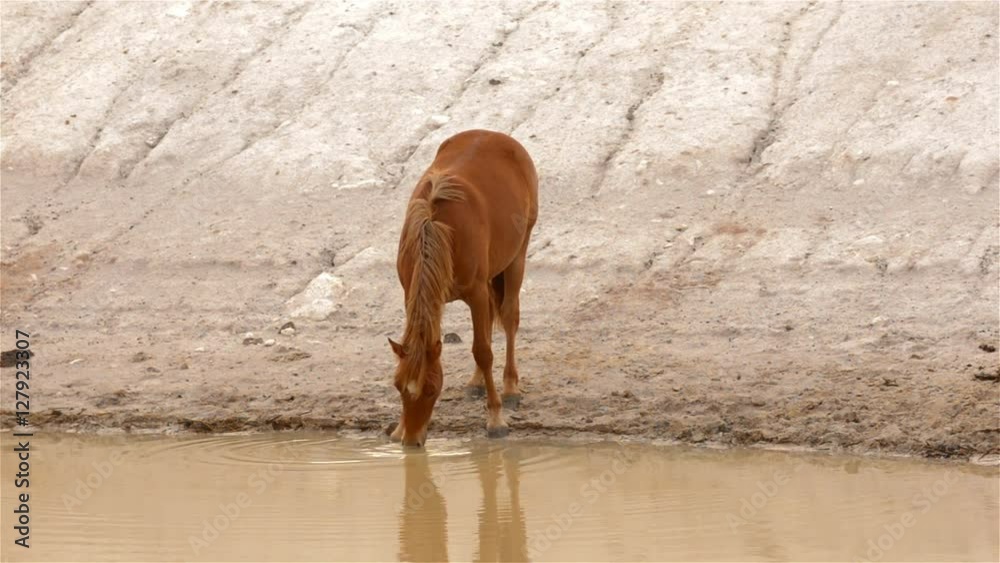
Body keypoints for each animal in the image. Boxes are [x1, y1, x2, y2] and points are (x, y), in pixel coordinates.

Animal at [388, 129, 539, 448]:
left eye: (432, 389)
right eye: (398, 386)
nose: (412, 442)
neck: (438, 231)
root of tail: (496, 136)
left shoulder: (477, 293)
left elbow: (482, 351)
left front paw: (495, 419)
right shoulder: (411, 294)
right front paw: (398, 429)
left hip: (517, 255)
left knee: (509, 318)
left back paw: (510, 388)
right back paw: (476, 382)